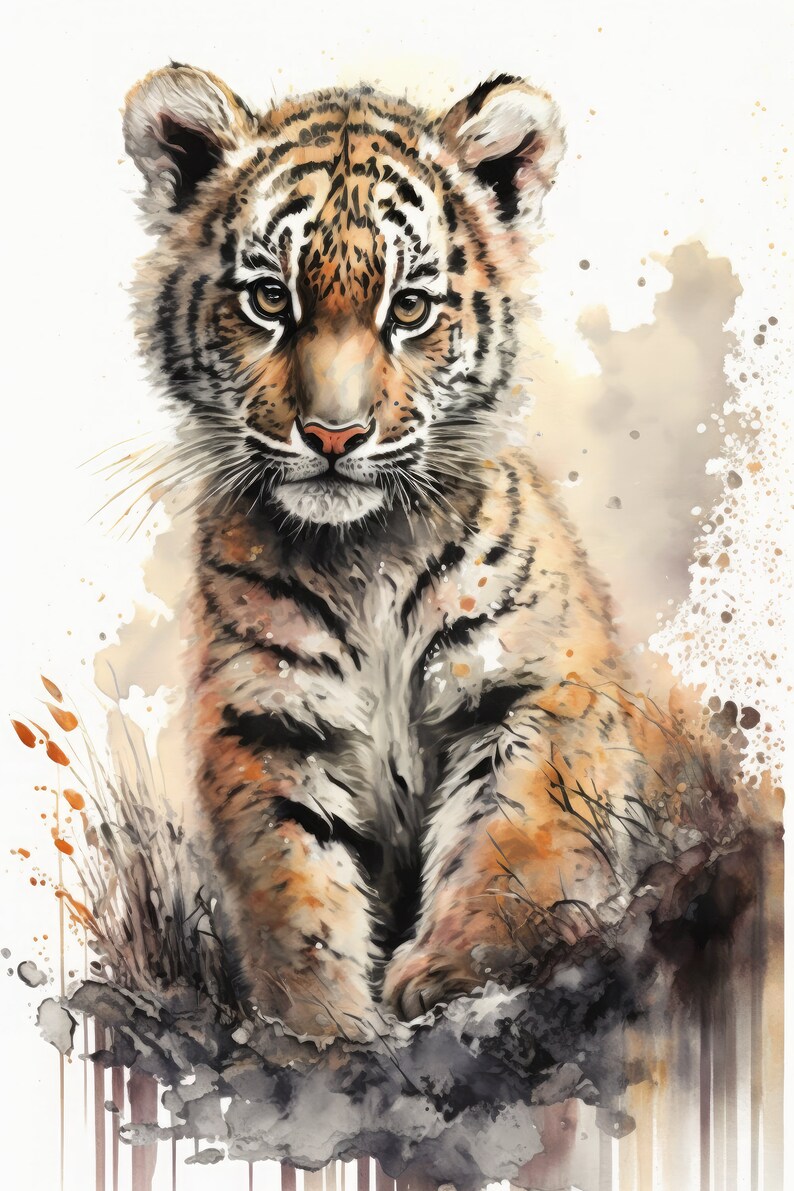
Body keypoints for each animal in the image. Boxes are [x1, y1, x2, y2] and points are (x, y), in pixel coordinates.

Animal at [122, 64, 708, 1042]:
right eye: (270, 299)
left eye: (408, 308)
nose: (332, 434)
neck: (365, 555)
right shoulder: (267, 723)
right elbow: (293, 886)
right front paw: (321, 1025)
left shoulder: (537, 690)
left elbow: (513, 834)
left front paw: (453, 969)